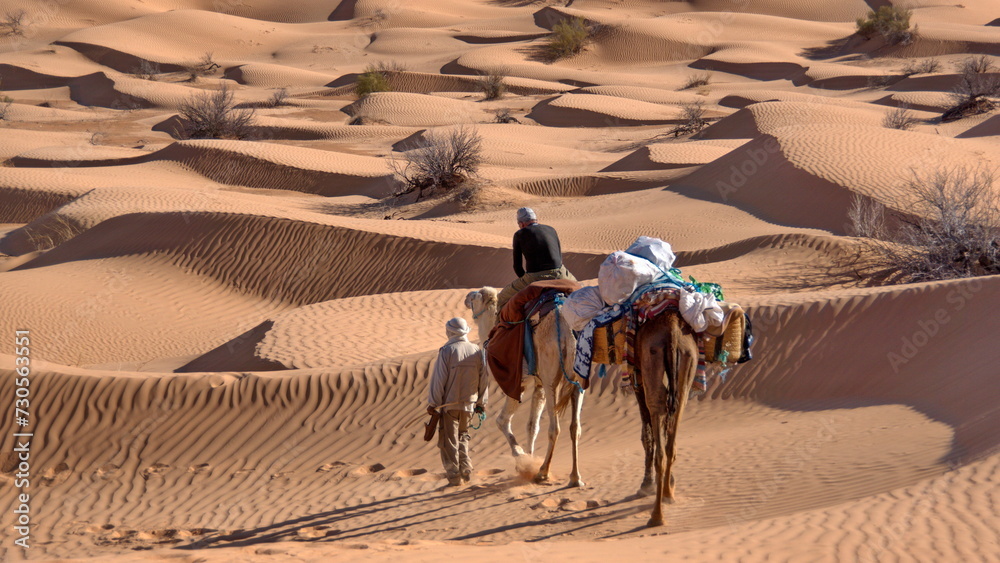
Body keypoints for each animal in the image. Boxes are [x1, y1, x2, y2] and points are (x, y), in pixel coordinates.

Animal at [464, 286, 585, 487]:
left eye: (474, 297)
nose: (466, 298)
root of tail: (568, 331)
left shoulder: (516, 382)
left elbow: (502, 420)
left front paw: (520, 456)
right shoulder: (538, 384)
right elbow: (532, 426)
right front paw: (529, 459)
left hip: (550, 373)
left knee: (555, 427)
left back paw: (543, 472)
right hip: (577, 378)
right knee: (575, 426)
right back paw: (575, 478)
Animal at [632, 310, 700, 527]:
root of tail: (672, 332)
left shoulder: (637, 374)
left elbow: (646, 433)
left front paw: (645, 485)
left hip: (651, 361)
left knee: (656, 408)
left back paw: (656, 516)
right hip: (687, 361)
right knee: (672, 438)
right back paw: (668, 495)